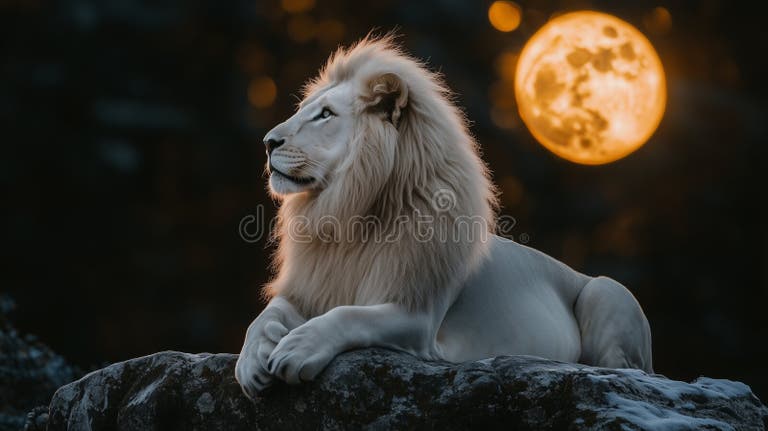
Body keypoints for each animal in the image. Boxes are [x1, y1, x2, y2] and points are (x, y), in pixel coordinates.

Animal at [235, 36, 653, 399]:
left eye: (325, 115)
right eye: (304, 111)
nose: (268, 143)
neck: (349, 213)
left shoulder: (418, 317)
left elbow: (348, 315)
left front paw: (297, 349)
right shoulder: (310, 287)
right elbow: (265, 316)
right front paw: (250, 362)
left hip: (606, 292)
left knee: (622, 368)